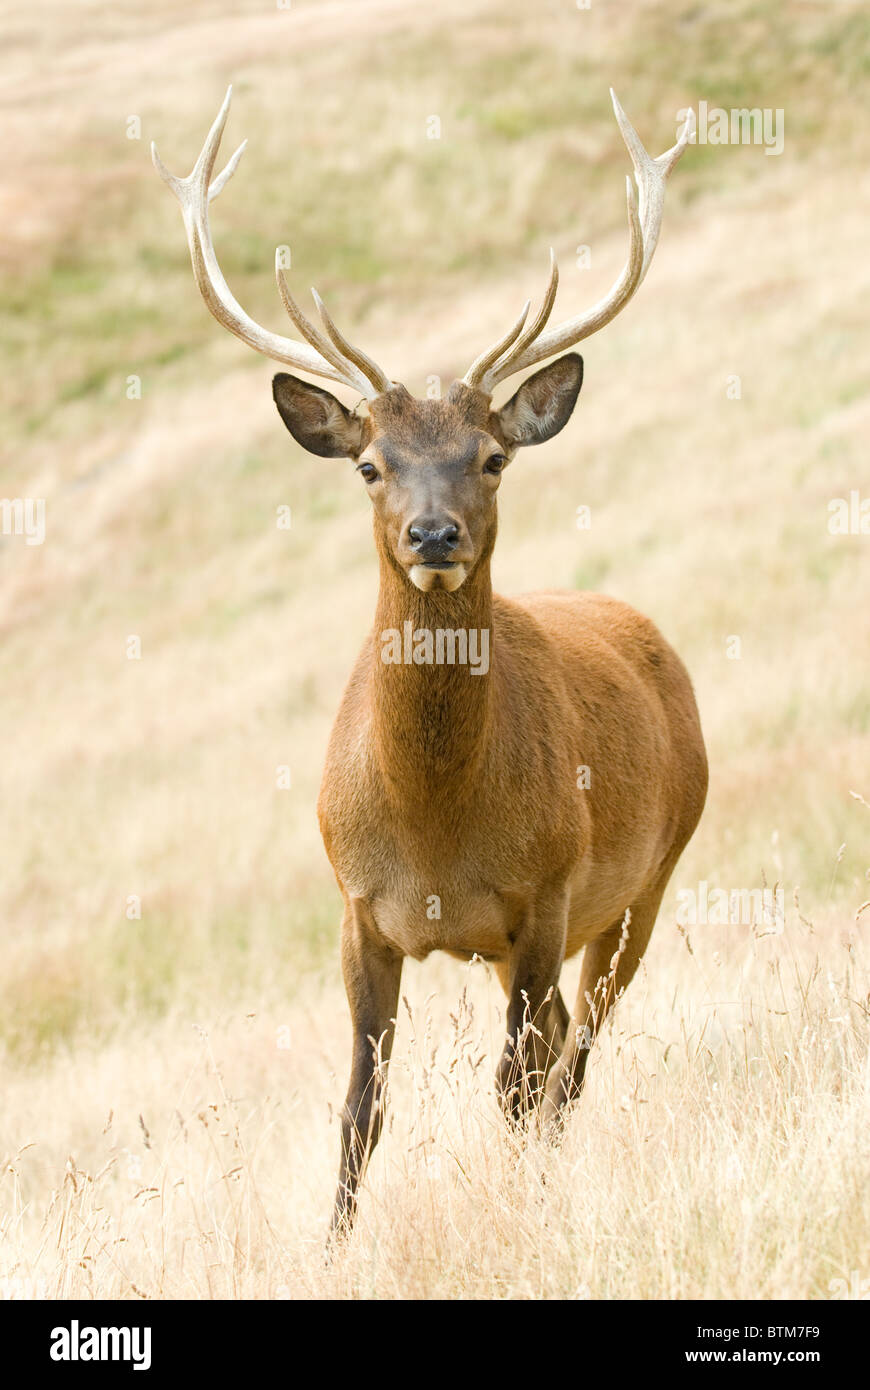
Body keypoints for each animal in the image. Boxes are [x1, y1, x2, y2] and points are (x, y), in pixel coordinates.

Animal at [153, 88, 708, 1236]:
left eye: (491, 457)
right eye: (371, 464)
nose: (435, 532)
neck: (435, 825)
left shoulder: (546, 892)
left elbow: (514, 1086)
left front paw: (518, 1210)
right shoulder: (357, 910)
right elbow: (360, 1107)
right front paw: (333, 1244)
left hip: (647, 880)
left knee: (572, 1060)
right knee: (558, 1056)